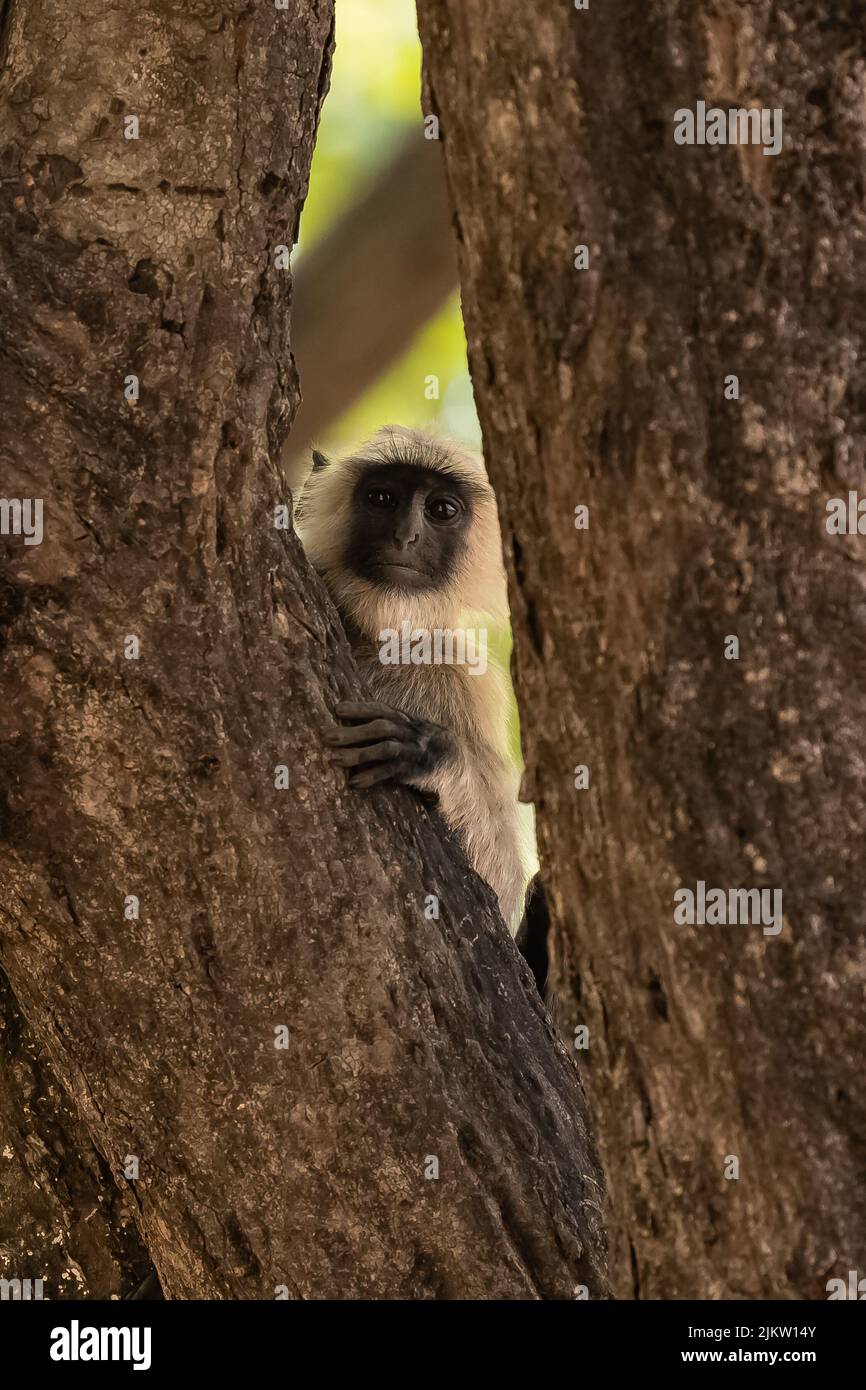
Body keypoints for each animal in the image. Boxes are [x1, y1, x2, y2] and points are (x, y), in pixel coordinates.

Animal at [294, 425, 537, 937]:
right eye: (382, 498)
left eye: (441, 510)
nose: (406, 536)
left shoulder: (461, 678)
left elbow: (502, 885)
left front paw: (426, 752)